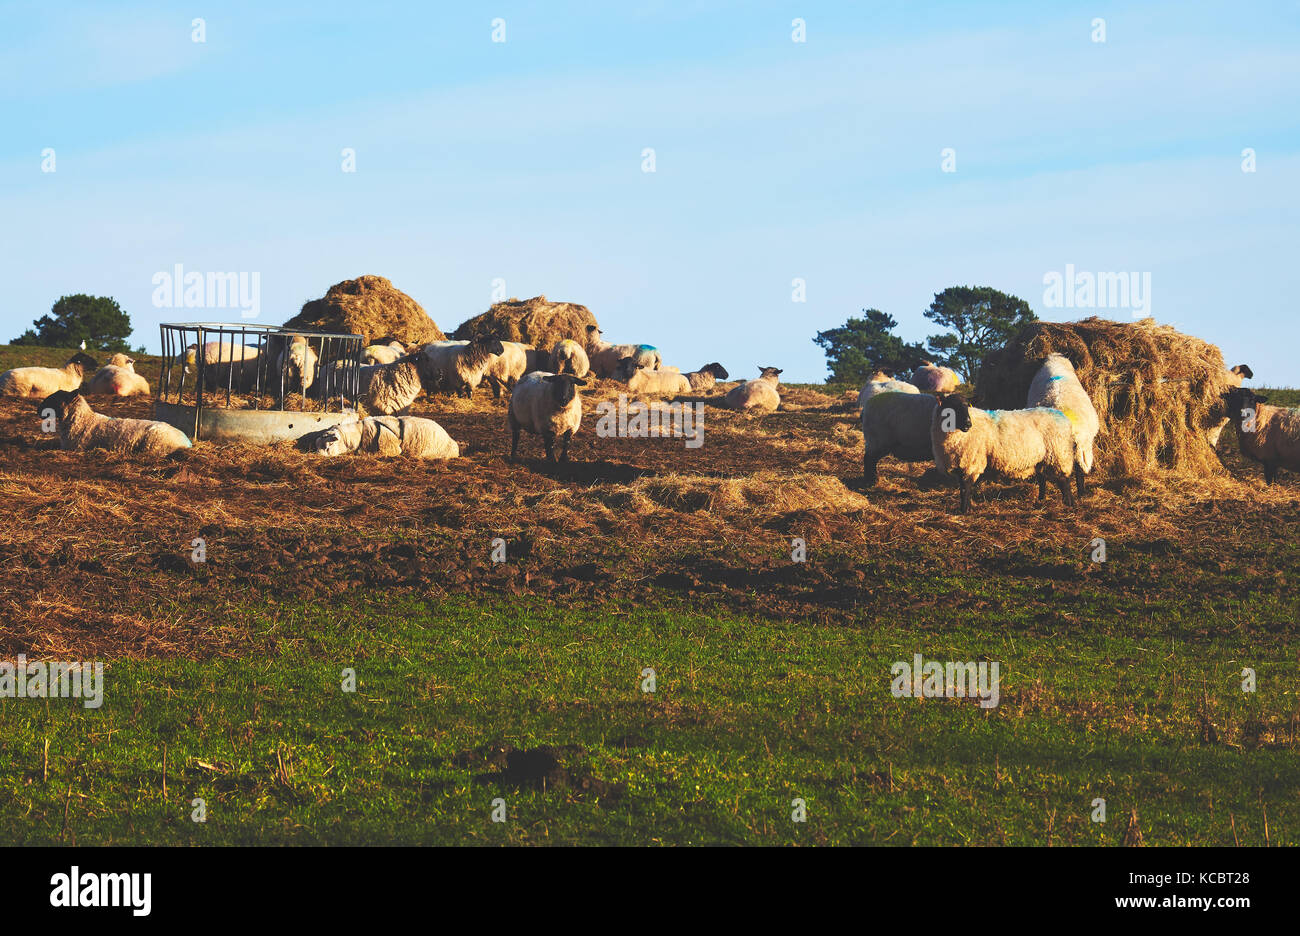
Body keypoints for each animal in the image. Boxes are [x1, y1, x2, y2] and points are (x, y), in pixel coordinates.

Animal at [37, 390, 191, 456]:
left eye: (56, 399)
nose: (38, 410)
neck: (84, 420)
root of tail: (187, 442)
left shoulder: (75, 448)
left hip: (154, 446)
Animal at [930, 392, 1077, 513]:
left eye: (967, 406)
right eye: (951, 406)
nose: (968, 424)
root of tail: (1063, 416)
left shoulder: (971, 461)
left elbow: (966, 487)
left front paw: (965, 511)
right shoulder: (961, 464)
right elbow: (963, 488)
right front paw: (966, 508)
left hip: (1059, 453)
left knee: (1064, 480)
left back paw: (1069, 503)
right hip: (1042, 458)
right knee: (1043, 478)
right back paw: (1040, 500)